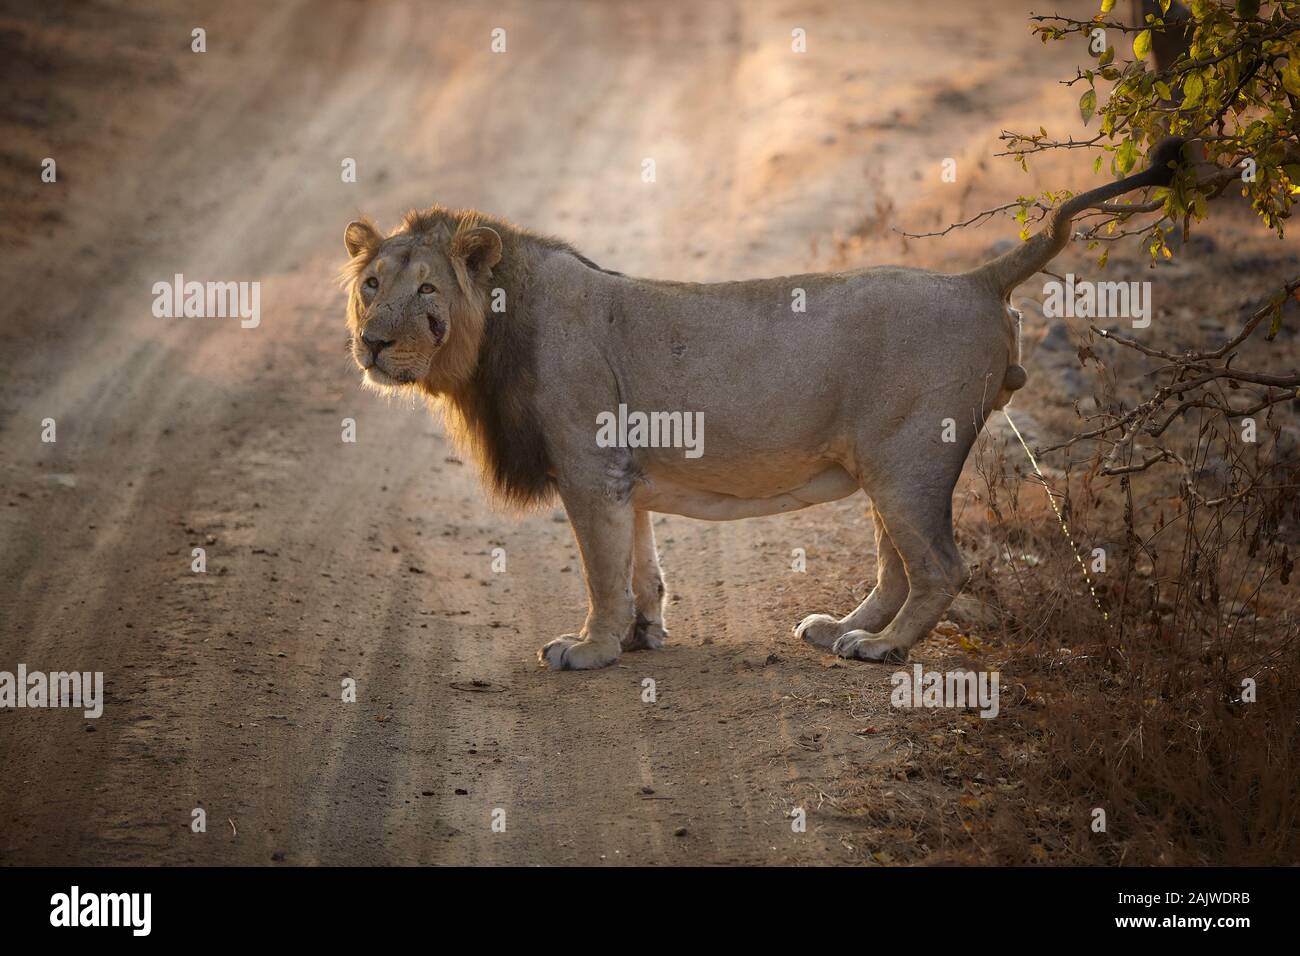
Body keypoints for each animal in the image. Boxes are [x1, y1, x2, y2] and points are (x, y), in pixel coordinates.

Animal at [345, 138, 1190, 671]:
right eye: (371, 284)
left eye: (426, 291)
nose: (372, 344)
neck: (497, 322)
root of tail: (975, 280)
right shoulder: (621, 474)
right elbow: (640, 562)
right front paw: (643, 634)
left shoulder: (589, 469)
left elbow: (601, 571)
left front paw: (590, 649)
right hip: (889, 466)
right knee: (898, 568)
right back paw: (840, 629)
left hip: (910, 457)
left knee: (942, 566)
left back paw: (881, 649)